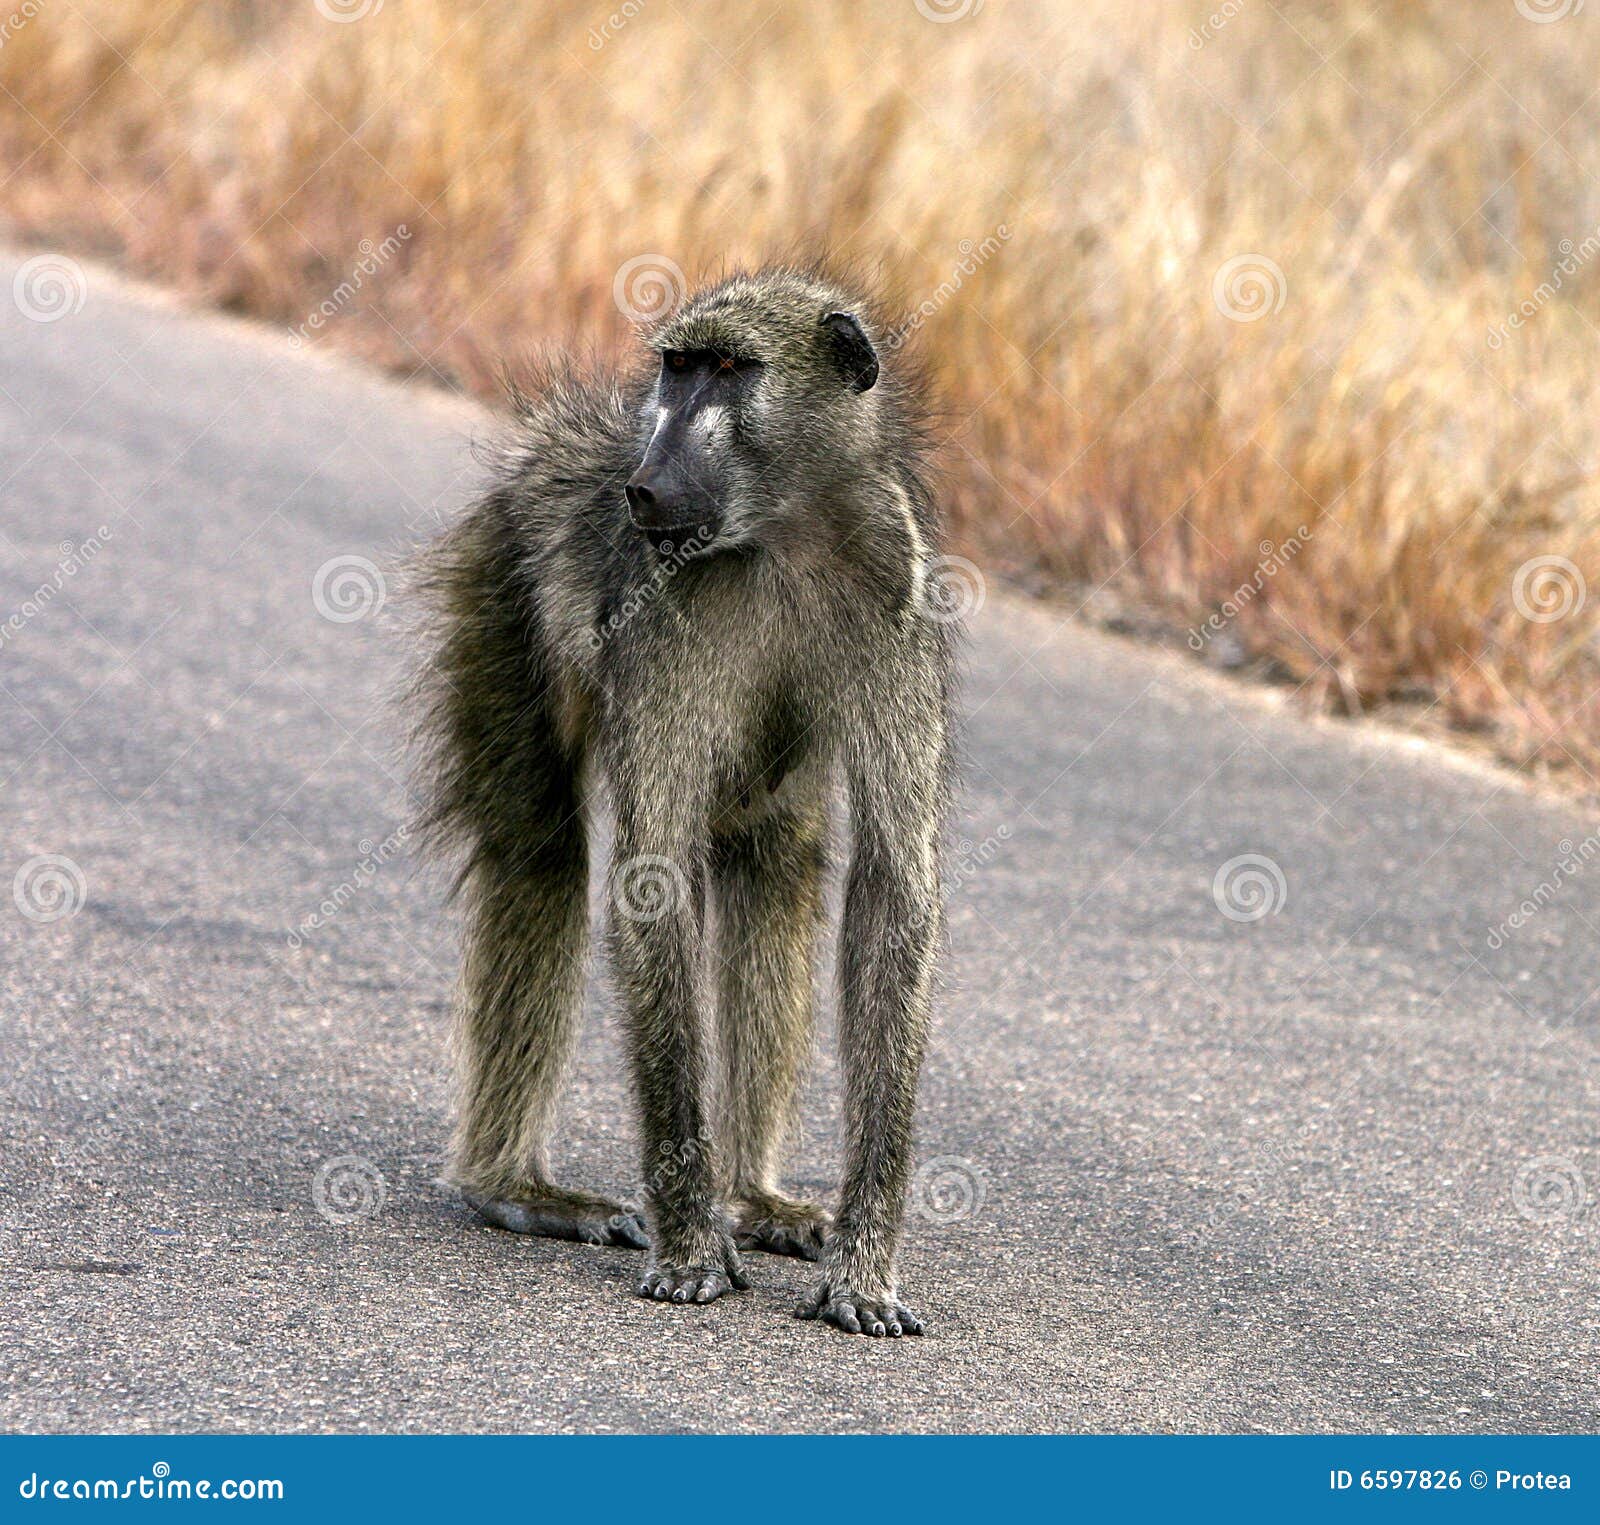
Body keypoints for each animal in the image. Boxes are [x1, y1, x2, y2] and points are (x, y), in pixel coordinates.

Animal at [412, 264, 954, 1338]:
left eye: (731, 370)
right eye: (678, 368)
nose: (645, 486)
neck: (783, 535)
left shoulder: (894, 597)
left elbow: (890, 885)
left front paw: (865, 1266)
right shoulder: (662, 616)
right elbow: (652, 875)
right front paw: (691, 1239)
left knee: (777, 859)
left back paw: (754, 1194)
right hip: (498, 579)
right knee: (540, 850)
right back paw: (515, 1189)